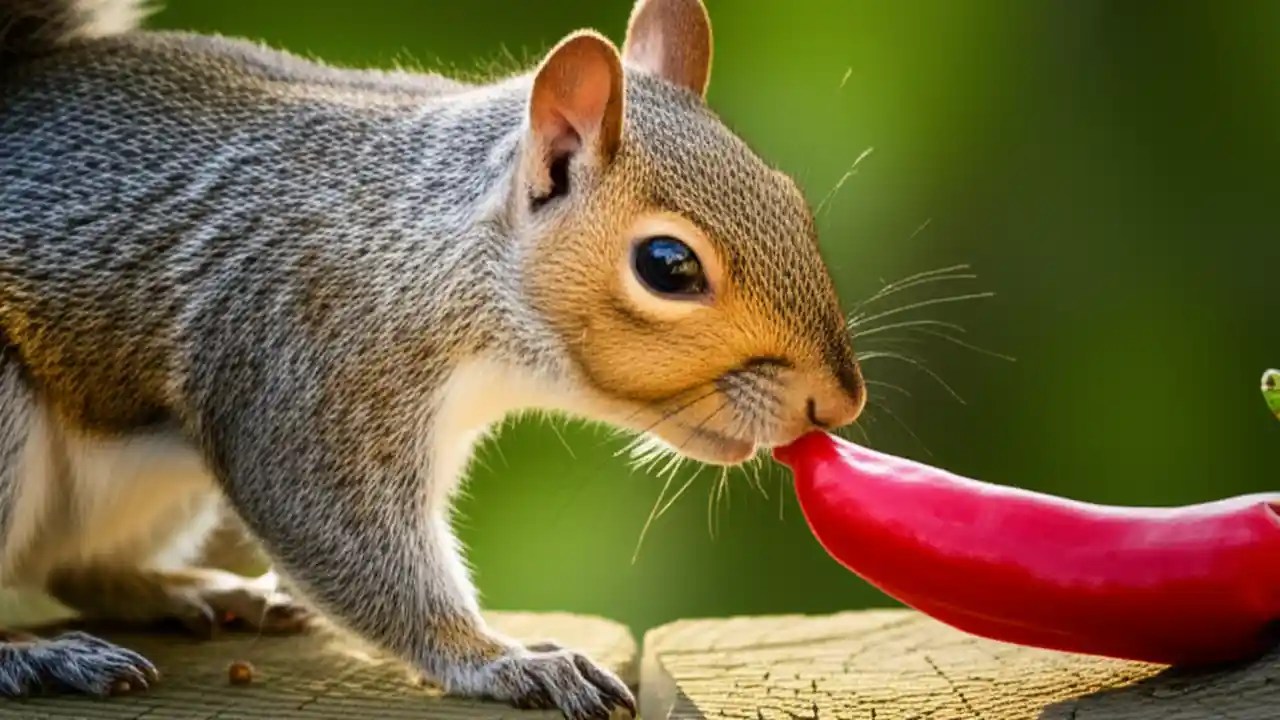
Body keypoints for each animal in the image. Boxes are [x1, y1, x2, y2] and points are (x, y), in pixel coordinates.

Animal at [0, 0, 866, 716]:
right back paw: (39, 657)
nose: (839, 402)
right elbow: (350, 541)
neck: (447, 252)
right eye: (668, 265)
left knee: (77, 570)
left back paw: (194, 592)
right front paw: (502, 659)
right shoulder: (310, 362)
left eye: (792, 200)